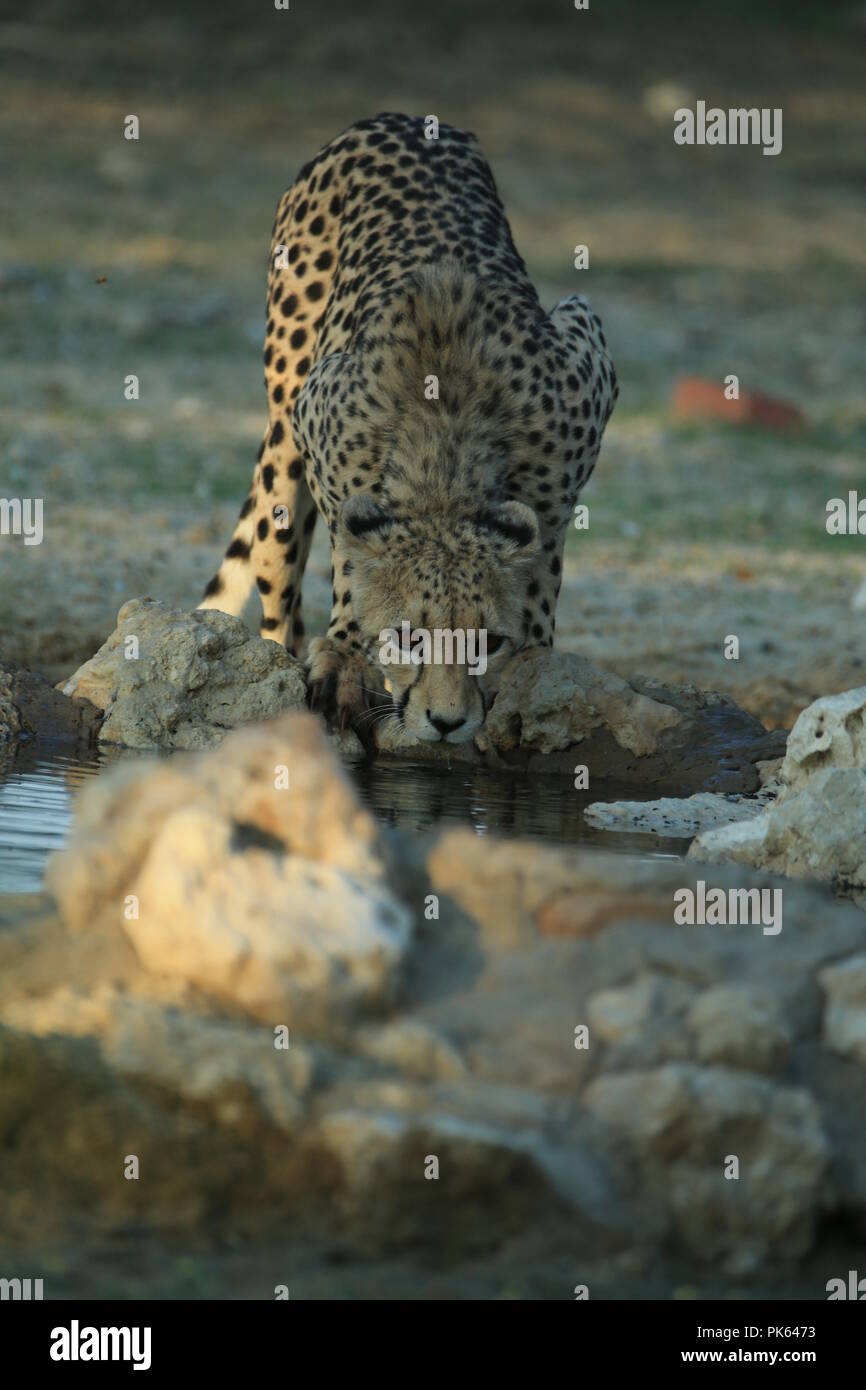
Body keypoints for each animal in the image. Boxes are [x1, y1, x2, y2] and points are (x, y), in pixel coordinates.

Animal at [198, 112, 617, 747]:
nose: (447, 723)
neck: (446, 456)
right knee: (276, 587)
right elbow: (348, 562)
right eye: (409, 637)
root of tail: (399, 117)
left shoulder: (582, 368)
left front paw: (533, 668)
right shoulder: (319, 417)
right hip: (284, 416)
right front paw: (346, 657)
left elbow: (543, 575)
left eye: (486, 642)